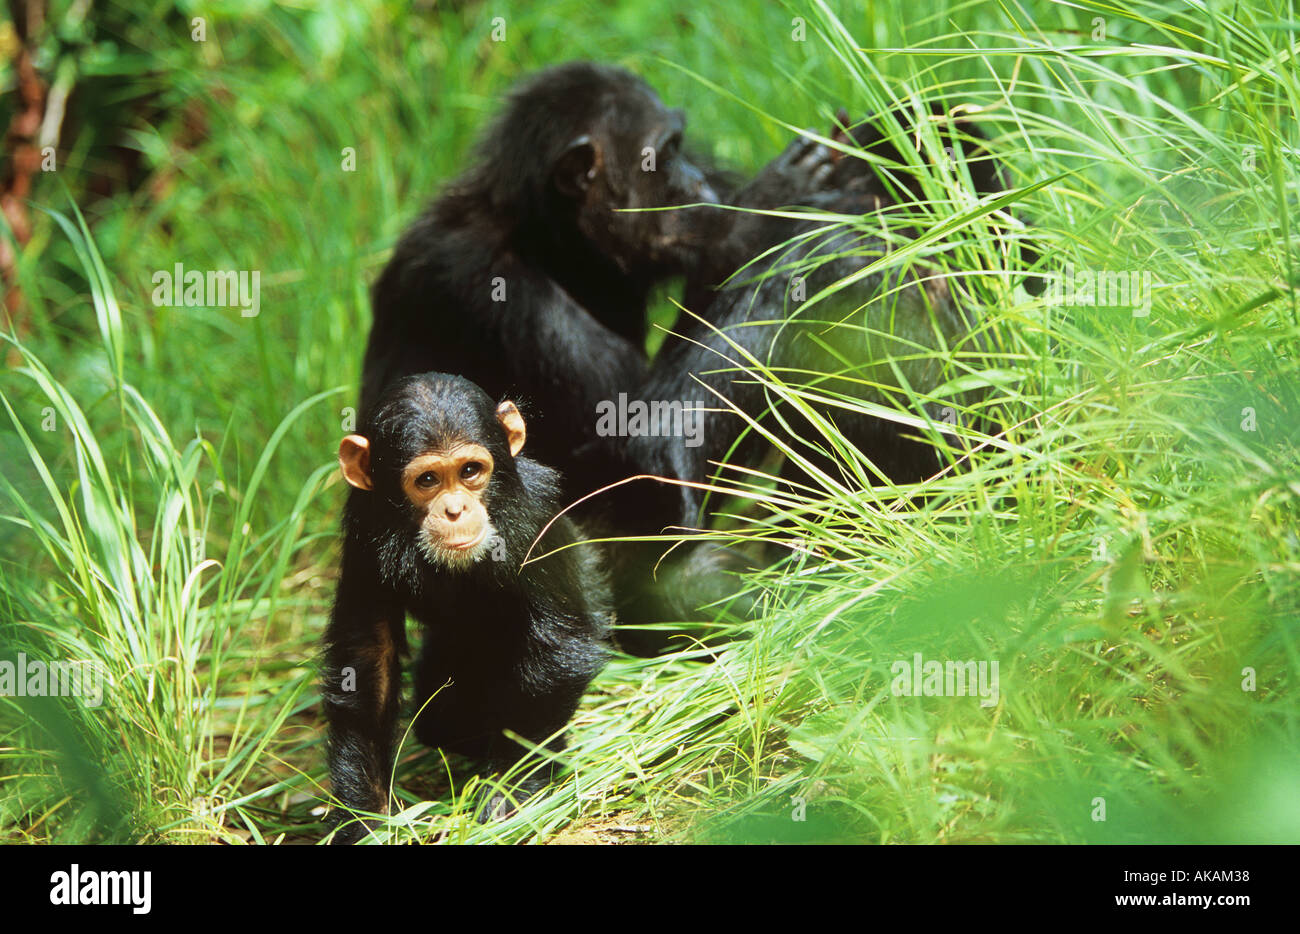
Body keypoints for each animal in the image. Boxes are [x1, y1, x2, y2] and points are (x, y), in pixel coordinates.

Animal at [320, 372, 611, 843]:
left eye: (470, 471)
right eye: (427, 480)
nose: (455, 509)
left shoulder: (533, 519)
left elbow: (557, 646)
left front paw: (510, 791)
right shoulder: (363, 525)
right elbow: (366, 661)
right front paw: (365, 817)